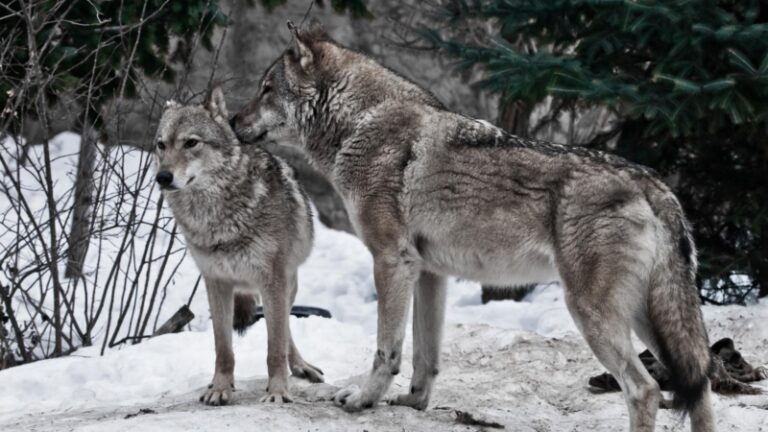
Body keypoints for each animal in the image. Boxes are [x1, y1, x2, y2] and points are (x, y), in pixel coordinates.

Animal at [154, 87, 324, 405]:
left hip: (287, 285)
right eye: (161, 145)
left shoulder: (273, 281)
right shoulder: (216, 282)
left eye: (191, 143)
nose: (163, 177)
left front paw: (278, 391)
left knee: (285, 331)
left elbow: (274, 348)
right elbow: (223, 348)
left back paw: (301, 367)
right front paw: (220, 388)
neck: (217, 217)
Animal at [231, 22, 715, 431]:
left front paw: (363, 399)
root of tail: (656, 185)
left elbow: (387, 349)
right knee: (701, 385)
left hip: (595, 313)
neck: (360, 124)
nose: (234, 121)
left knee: (645, 389)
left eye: (266, 89)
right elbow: (425, 355)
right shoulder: (429, 272)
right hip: (648, 319)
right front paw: (414, 402)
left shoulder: (391, 261)